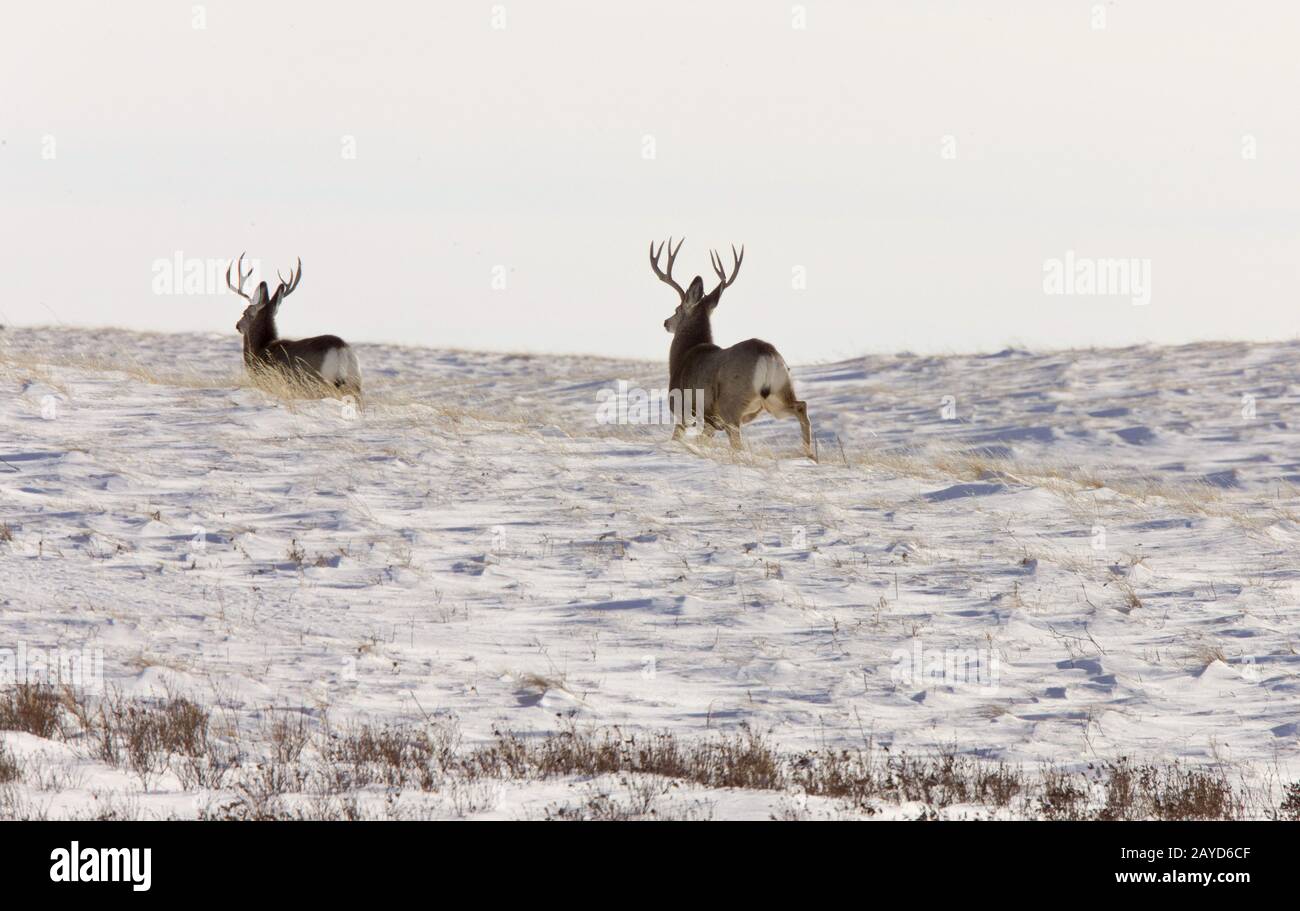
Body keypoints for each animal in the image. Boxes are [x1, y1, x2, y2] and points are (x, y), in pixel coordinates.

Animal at [227, 253, 362, 399]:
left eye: (245, 313)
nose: (237, 325)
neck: (261, 348)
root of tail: (341, 351)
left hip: (318, 381)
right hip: (355, 383)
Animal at [650, 237, 814, 460]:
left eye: (677, 309)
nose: (666, 322)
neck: (684, 355)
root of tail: (767, 354)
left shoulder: (682, 408)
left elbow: (677, 437)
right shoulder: (710, 421)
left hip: (732, 404)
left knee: (738, 442)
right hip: (778, 394)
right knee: (801, 407)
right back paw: (811, 456)